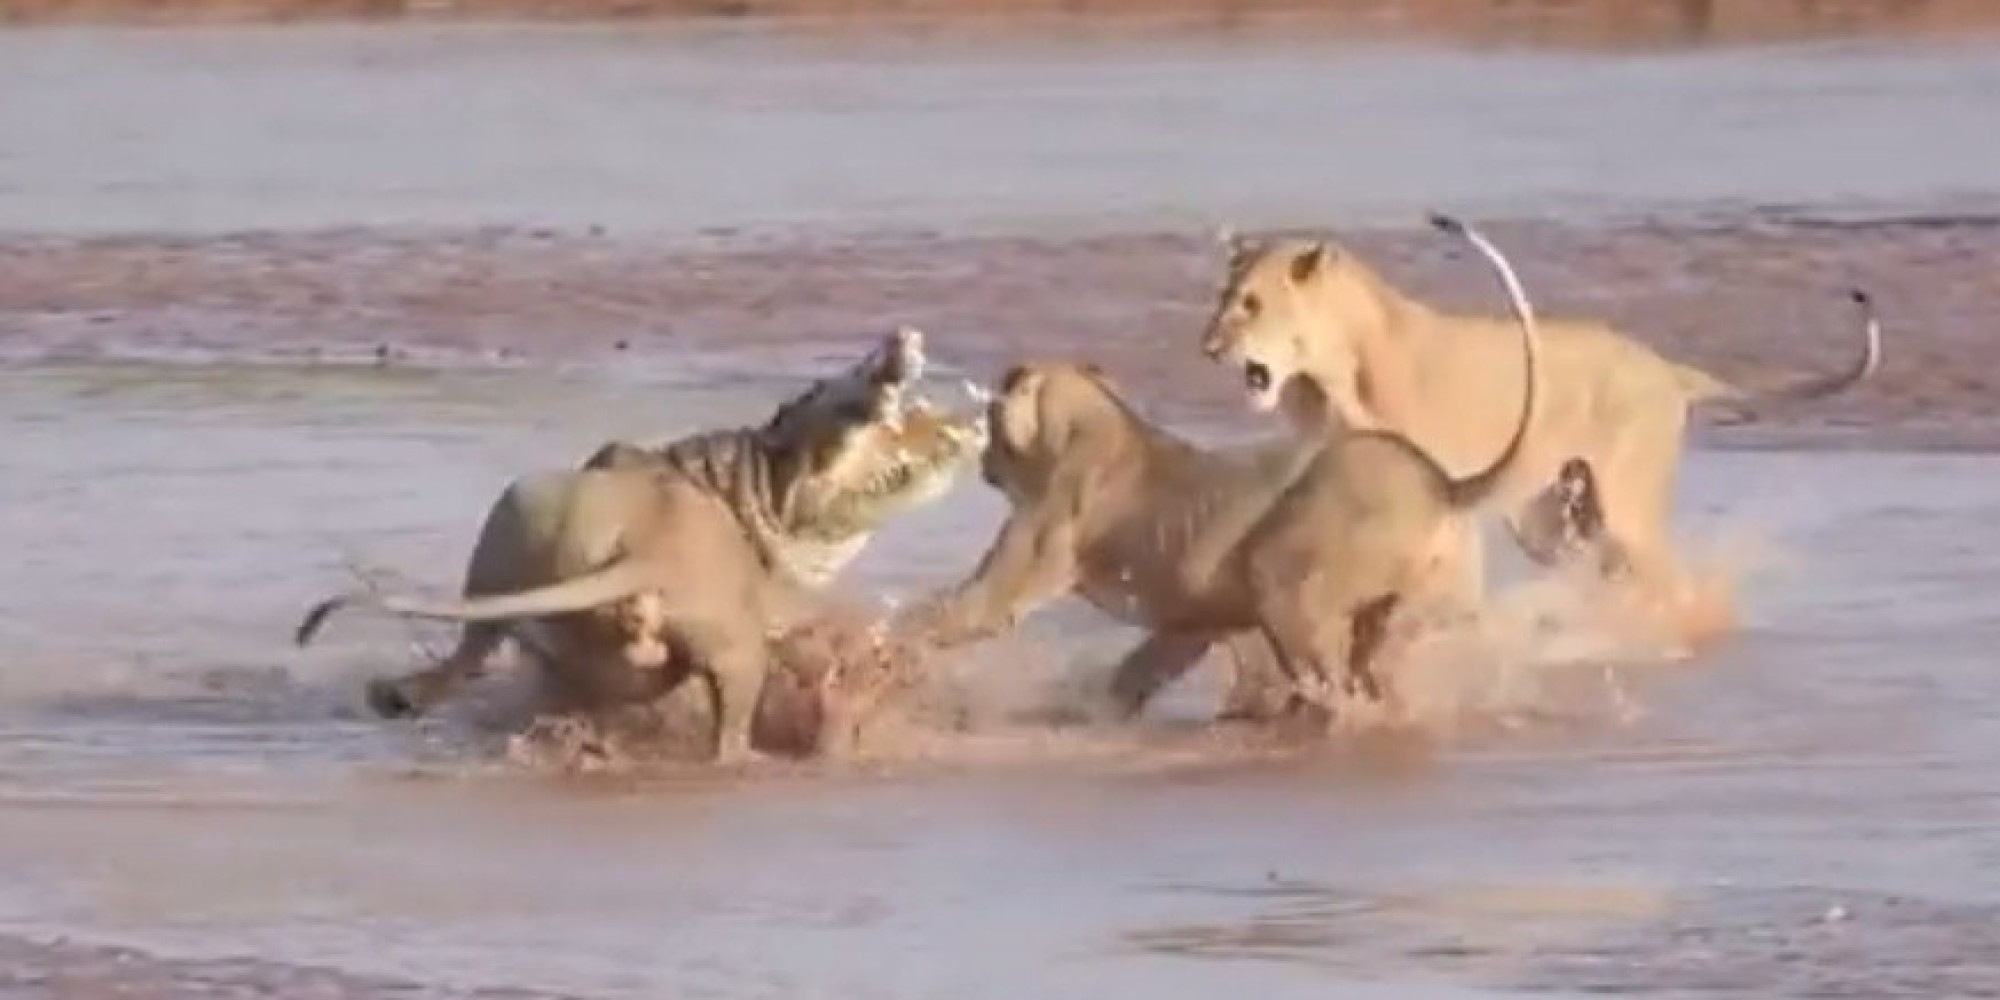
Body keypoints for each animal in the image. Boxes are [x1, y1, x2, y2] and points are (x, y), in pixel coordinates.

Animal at [294, 327, 984, 763]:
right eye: (832, 391)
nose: (893, 348)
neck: (753, 478)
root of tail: (652, 548)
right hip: (730, 653)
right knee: (726, 736)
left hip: (521, 513)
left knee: (478, 651)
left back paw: (402, 694)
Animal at [898, 215, 1542, 719]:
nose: (984, 459)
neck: (1087, 424)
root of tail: (1440, 481)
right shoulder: (1191, 622)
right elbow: (1130, 677)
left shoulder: (1012, 581)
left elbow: (942, 618)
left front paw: (880, 659)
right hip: (1407, 614)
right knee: (1371, 676)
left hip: (1283, 579)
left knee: (1333, 684)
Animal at [1197, 222, 1882, 648]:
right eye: (1222, 296)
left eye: (1251, 304)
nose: (1207, 349)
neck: (1328, 376)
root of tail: (1665, 367)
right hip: (1550, 522)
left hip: (1627, 510)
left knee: (1673, 586)